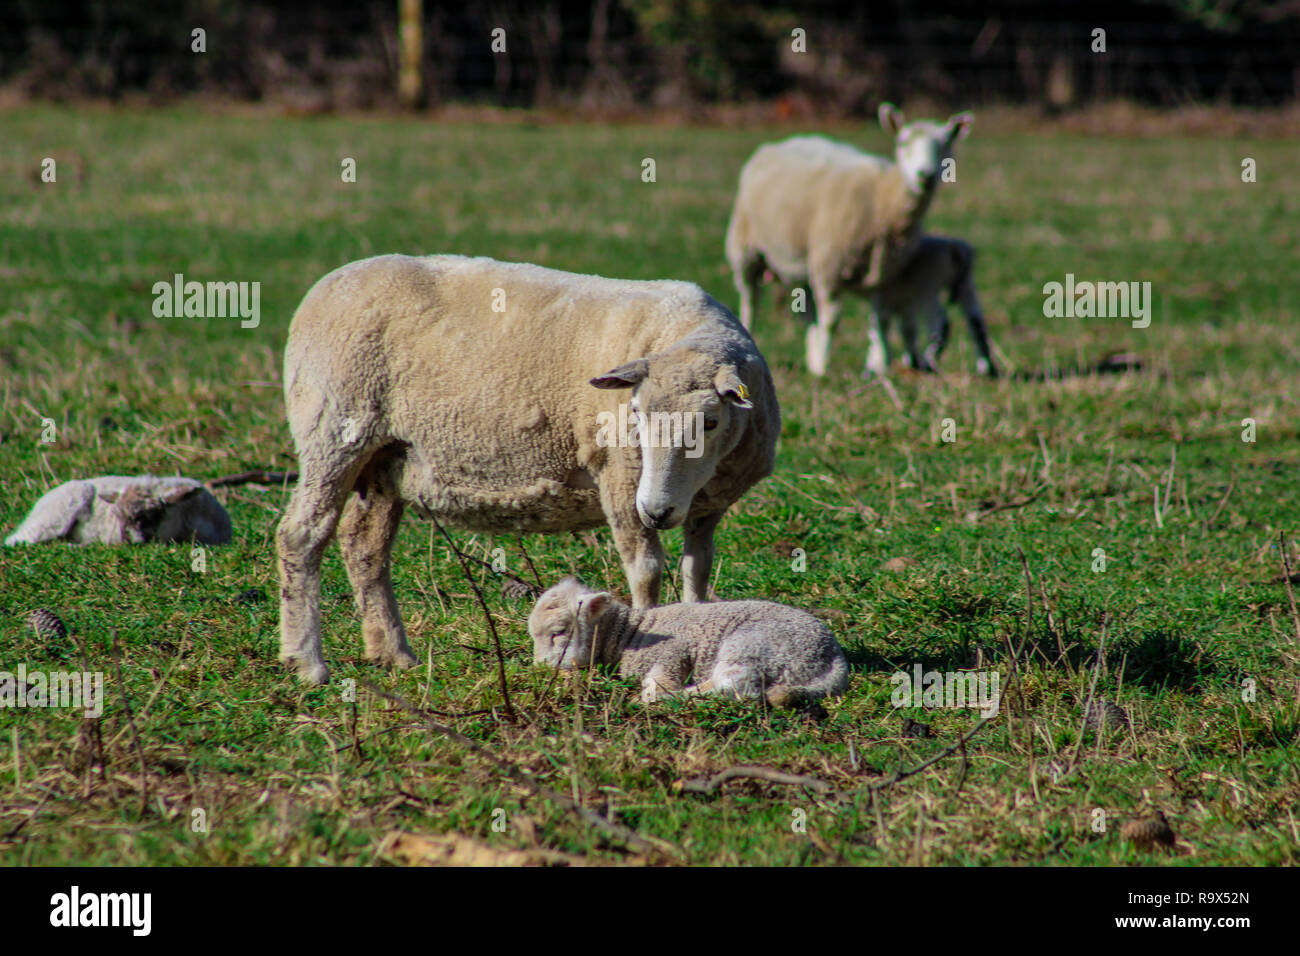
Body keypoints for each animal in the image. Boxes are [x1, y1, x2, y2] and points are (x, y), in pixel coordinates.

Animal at [278, 254, 779, 684]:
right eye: (635, 413)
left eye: (710, 422)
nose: (657, 511)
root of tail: (326, 285)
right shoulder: (619, 479)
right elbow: (647, 571)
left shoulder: (709, 505)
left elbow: (698, 569)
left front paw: (696, 616)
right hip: (334, 428)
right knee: (302, 535)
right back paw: (307, 662)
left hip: (386, 459)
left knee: (364, 546)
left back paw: (393, 653)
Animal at [529, 577, 849, 708]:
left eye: (559, 632)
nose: (539, 668)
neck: (627, 635)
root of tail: (834, 659)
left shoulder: (671, 652)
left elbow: (660, 682)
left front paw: (651, 694)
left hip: (754, 645)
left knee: (737, 686)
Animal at [725, 102, 972, 377]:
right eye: (903, 142)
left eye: (945, 144)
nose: (925, 175)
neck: (883, 199)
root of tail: (779, 143)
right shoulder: (829, 265)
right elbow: (832, 321)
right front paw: (824, 368)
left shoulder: (884, 274)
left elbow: (881, 318)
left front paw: (881, 364)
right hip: (745, 249)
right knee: (750, 300)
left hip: (804, 259)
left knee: (807, 312)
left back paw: (812, 356)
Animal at [873, 234, 998, 378]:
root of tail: (956, 248)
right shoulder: (902, 300)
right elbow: (905, 328)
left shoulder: (887, 297)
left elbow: (882, 329)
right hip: (965, 285)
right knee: (976, 323)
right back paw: (987, 368)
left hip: (927, 289)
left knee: (942, 322)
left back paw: (928, 363)